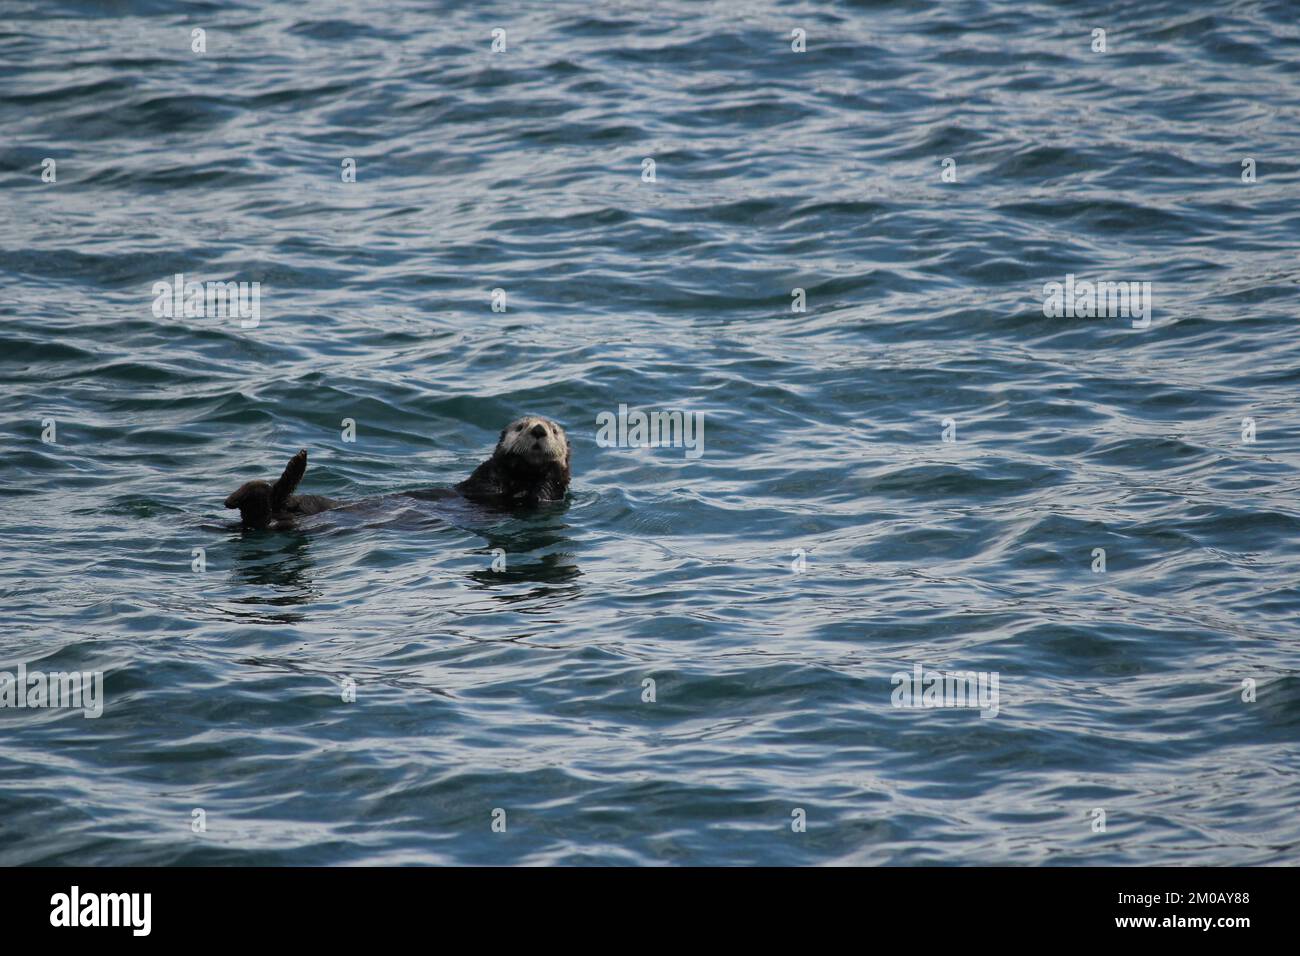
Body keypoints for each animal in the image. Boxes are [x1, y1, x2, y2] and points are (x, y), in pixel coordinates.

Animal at [224, 416, 571, 530]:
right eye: (520, 426)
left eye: (554, 430)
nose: (539, 430)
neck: (517, 481)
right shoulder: (486, 479)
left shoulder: (546, 496)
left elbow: (543, 492)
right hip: (311, 502)